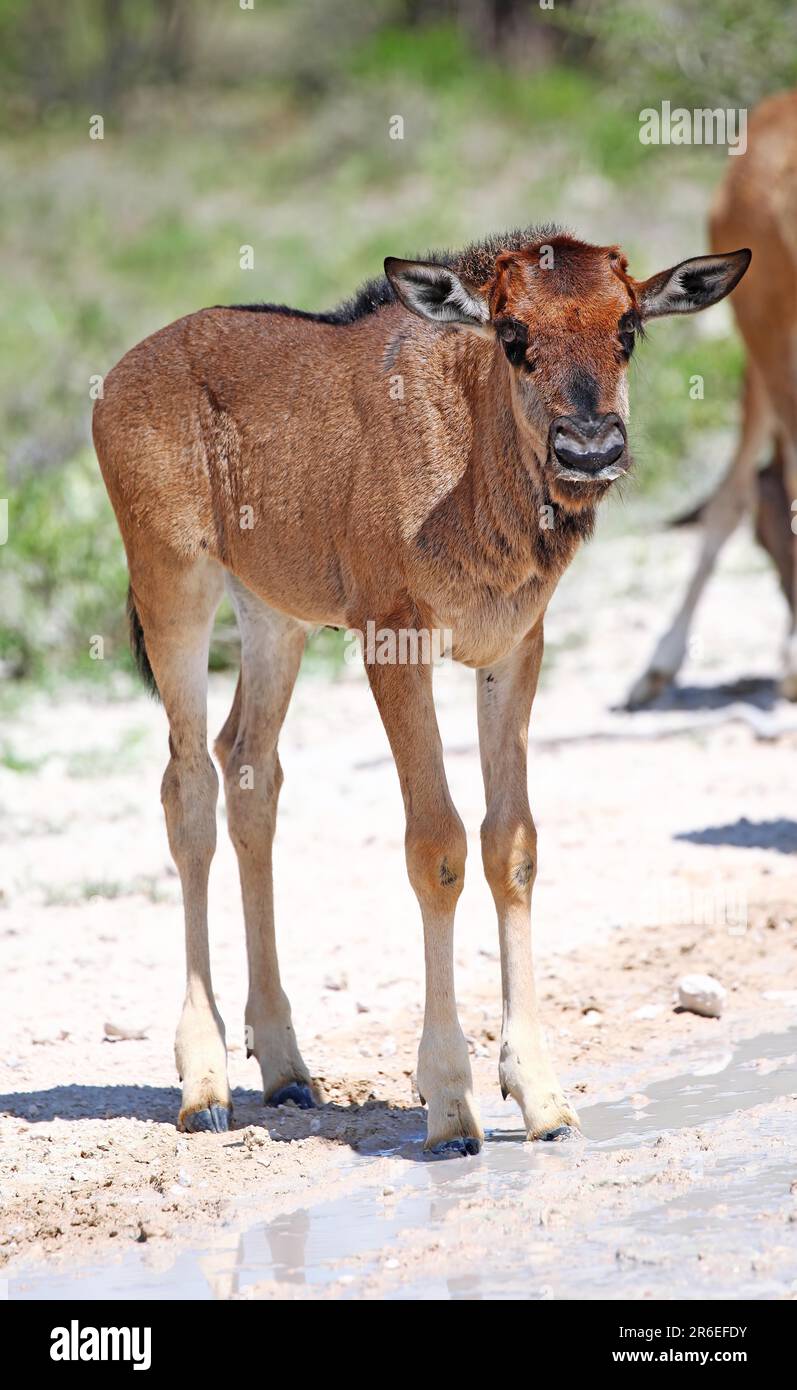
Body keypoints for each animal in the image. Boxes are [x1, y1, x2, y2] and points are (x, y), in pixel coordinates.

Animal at [93, 227, 749, 1154]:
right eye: (512, 334)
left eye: (627, 329)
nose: (589, 452)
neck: (470, 453)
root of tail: (119, 377)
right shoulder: (393, 642)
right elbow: (435, 846)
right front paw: (448, 1102)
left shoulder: (511, 646)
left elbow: (511, 845)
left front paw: (538, 1095)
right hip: (174, 592)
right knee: (187, 787)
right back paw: (205, 1082)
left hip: (272, 617)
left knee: (250, 771)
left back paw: (285, 1066)